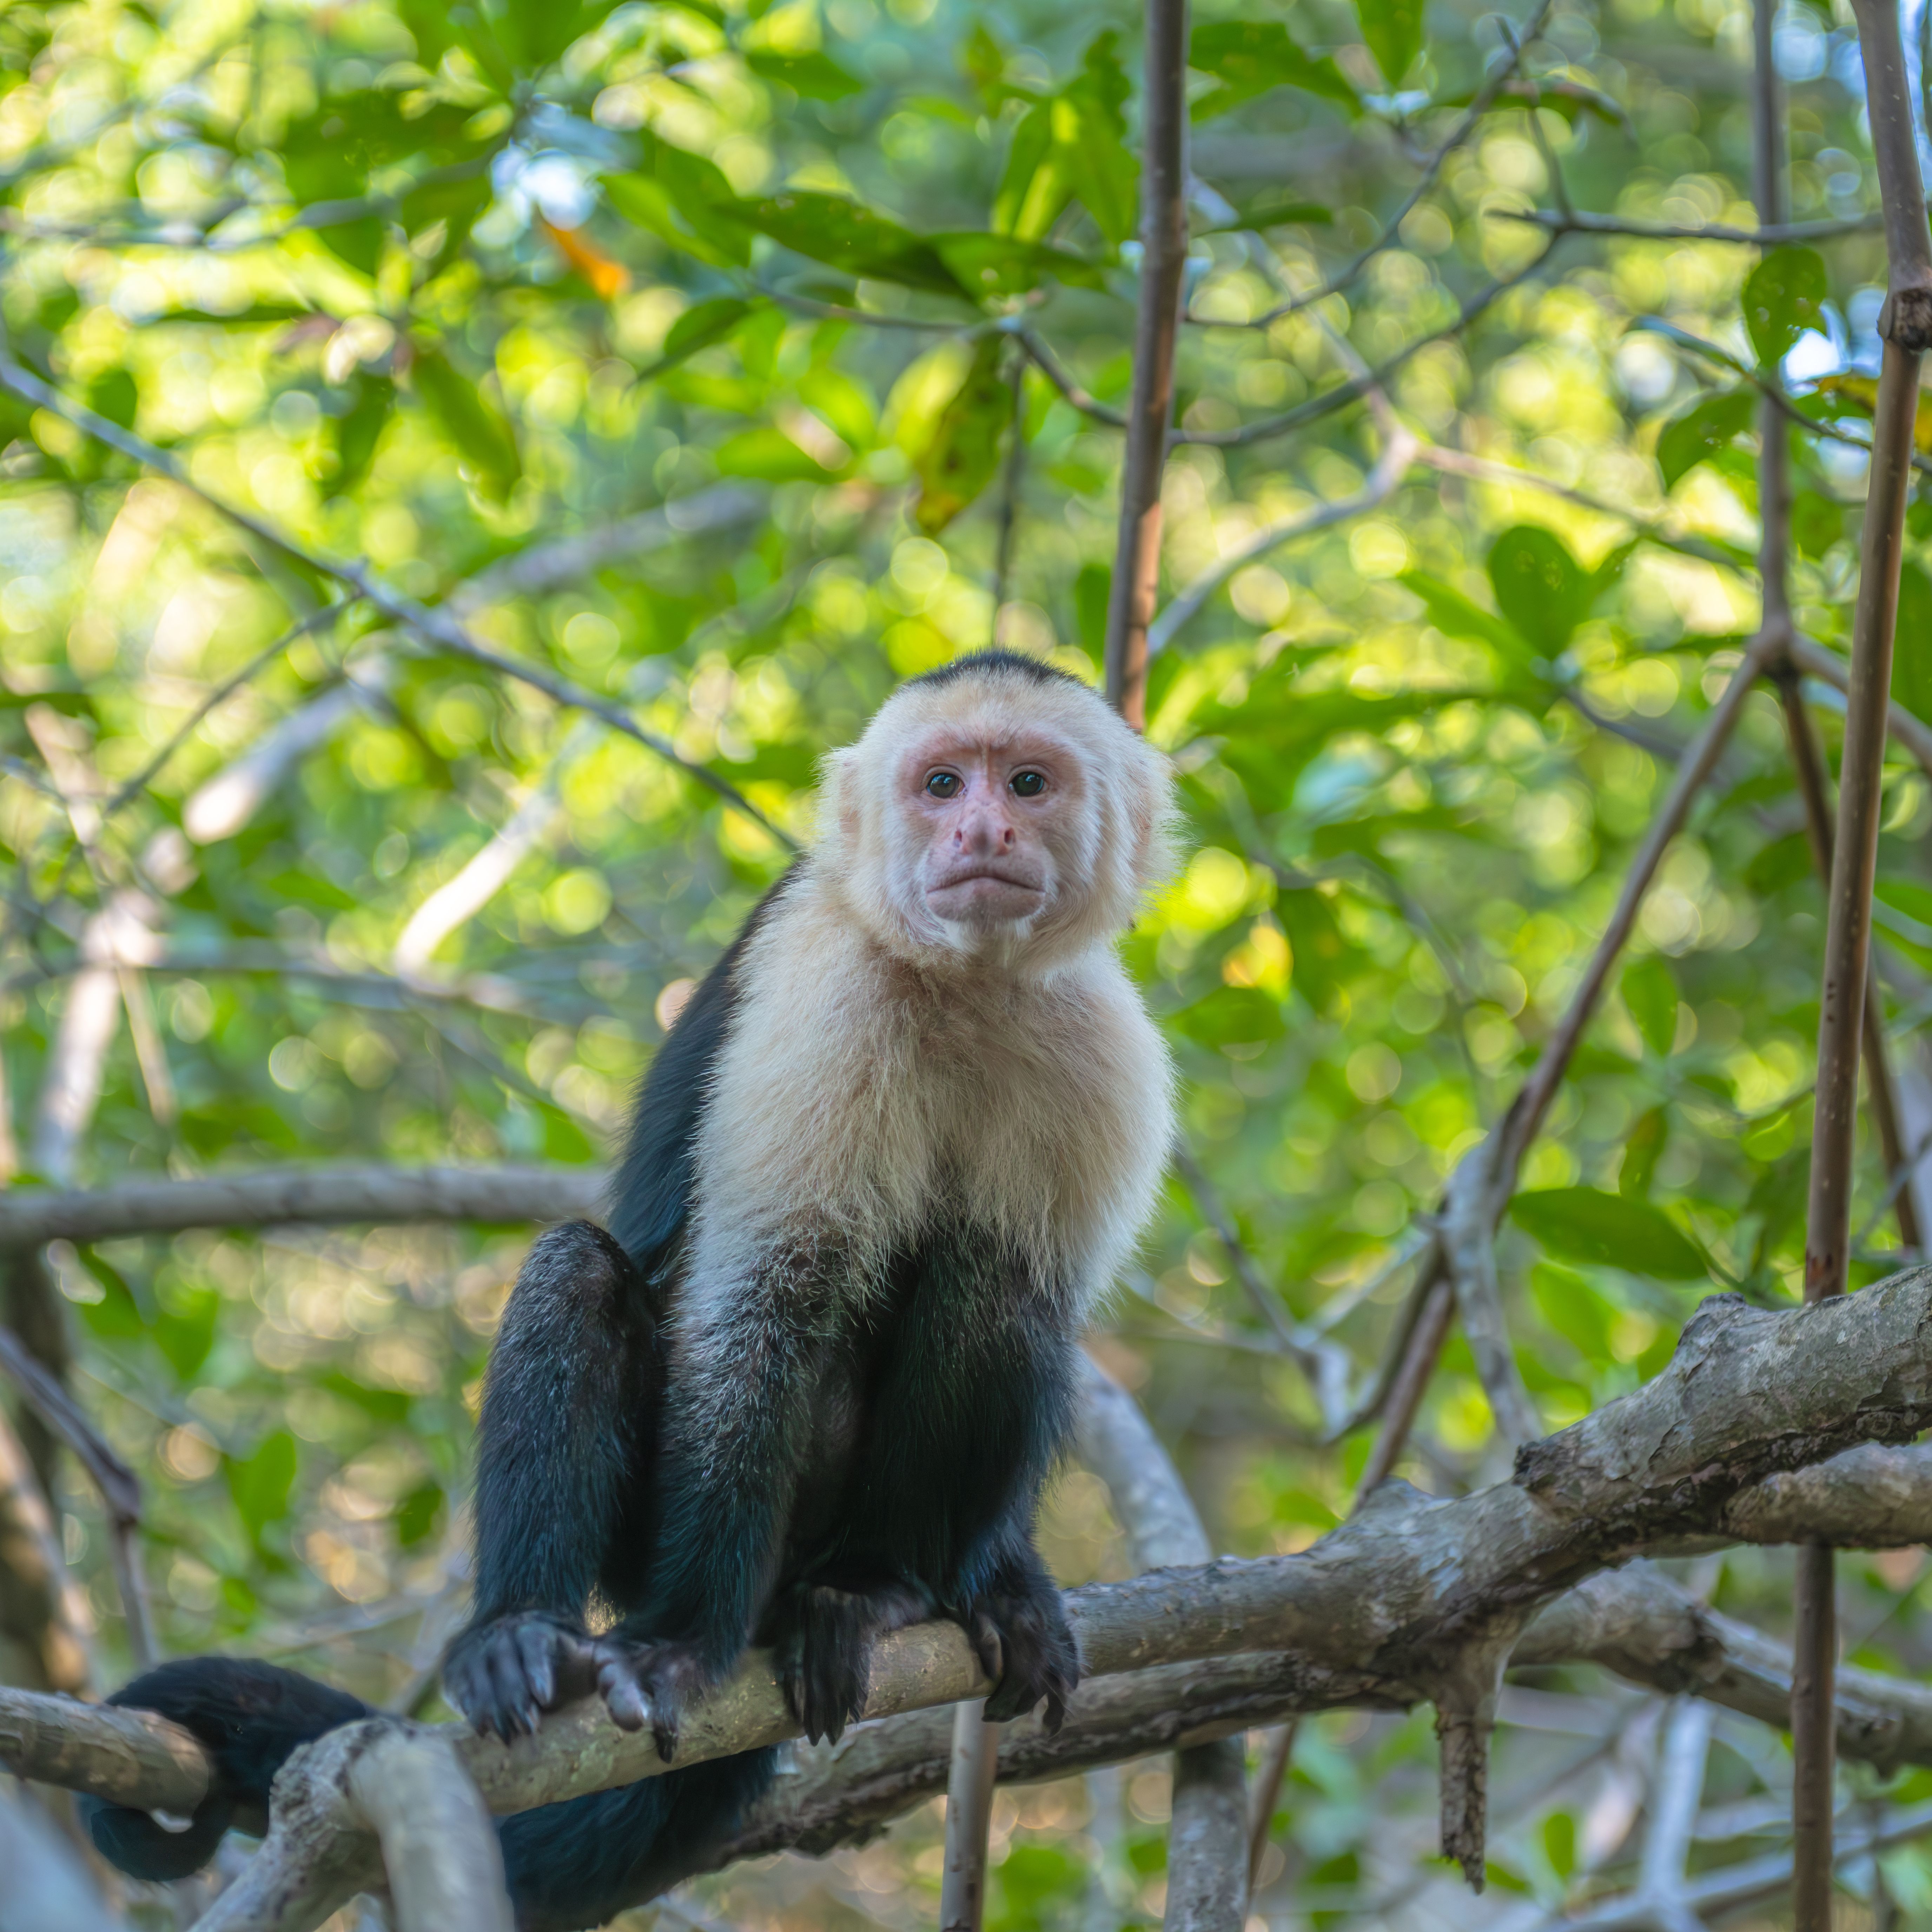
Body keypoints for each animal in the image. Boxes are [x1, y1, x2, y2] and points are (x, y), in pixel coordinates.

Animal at [84, 650, 1177, 1932]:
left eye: (1030, 782)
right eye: (943, 782)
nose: (985, 828)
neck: (961, 981)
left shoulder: (1096, 1037)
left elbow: (1022, 1292)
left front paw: (983, 1582)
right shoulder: (822, 991)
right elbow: (765, 1299)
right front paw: (683, 1648)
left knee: (996, 1295)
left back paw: (879, 1589)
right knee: (580, 1272)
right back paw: (526, 1636)